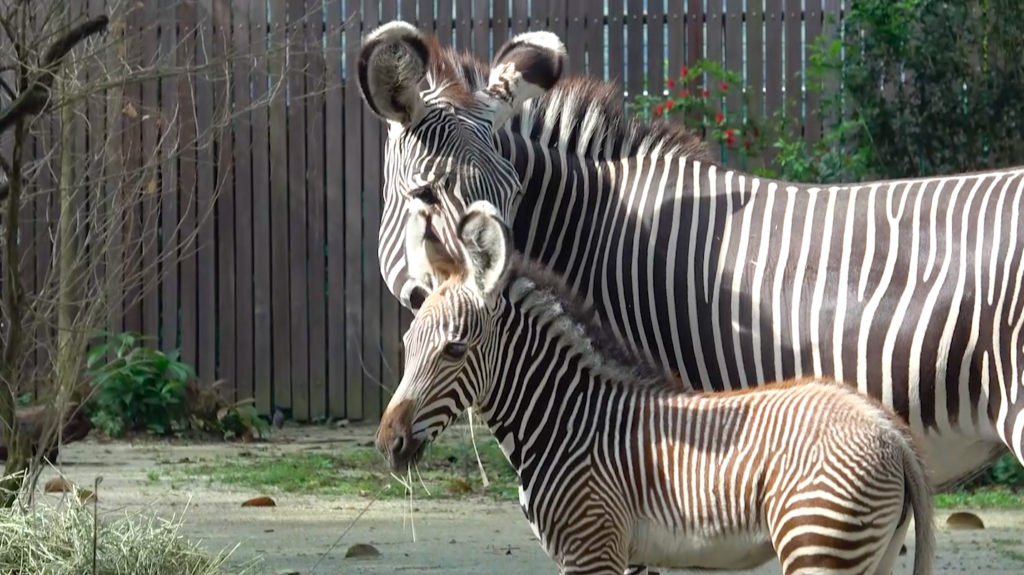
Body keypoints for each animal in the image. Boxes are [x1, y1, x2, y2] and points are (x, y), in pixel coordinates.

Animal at [377, 201, 936, 575]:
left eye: (454, 350)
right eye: (406, 343)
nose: (387, 443)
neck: (567, 421)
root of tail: (890, 431)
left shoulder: (591, 547)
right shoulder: (628, 555)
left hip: (818, 545)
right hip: (873, 554)